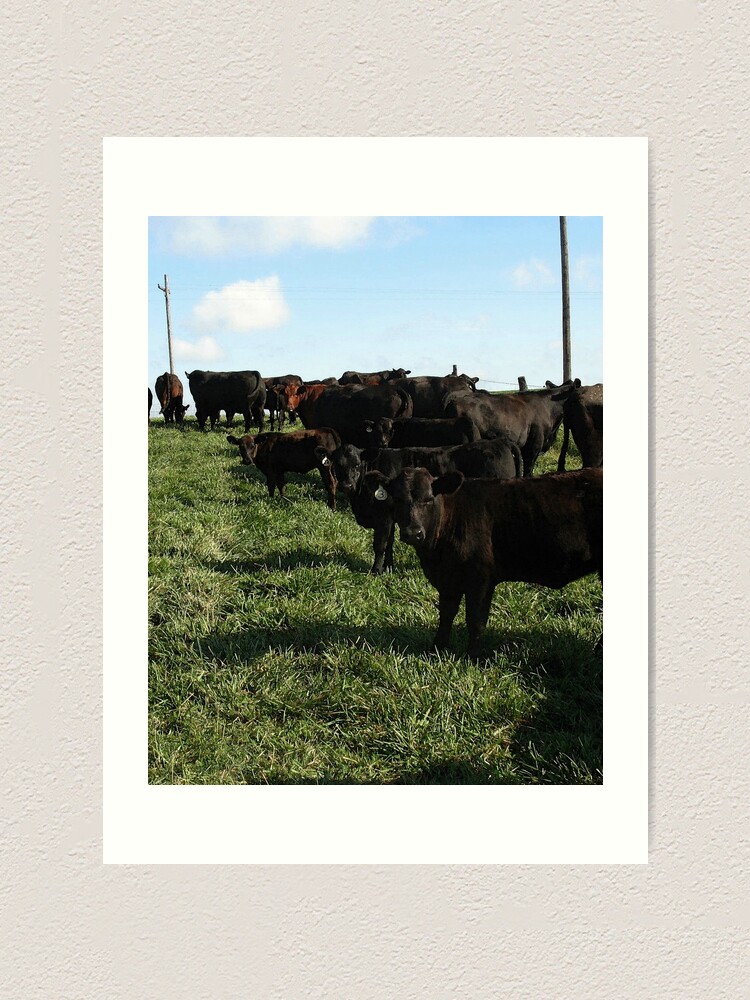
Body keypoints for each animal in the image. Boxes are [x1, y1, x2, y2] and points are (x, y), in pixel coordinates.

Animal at [378, 467, 603, 657]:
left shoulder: (481, 579)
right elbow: (446, 613)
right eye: (397, 499)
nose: (413, 533)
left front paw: (473, 657)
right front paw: (437, 649)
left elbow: (475, 620)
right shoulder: (449, 579)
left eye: (428, 499)